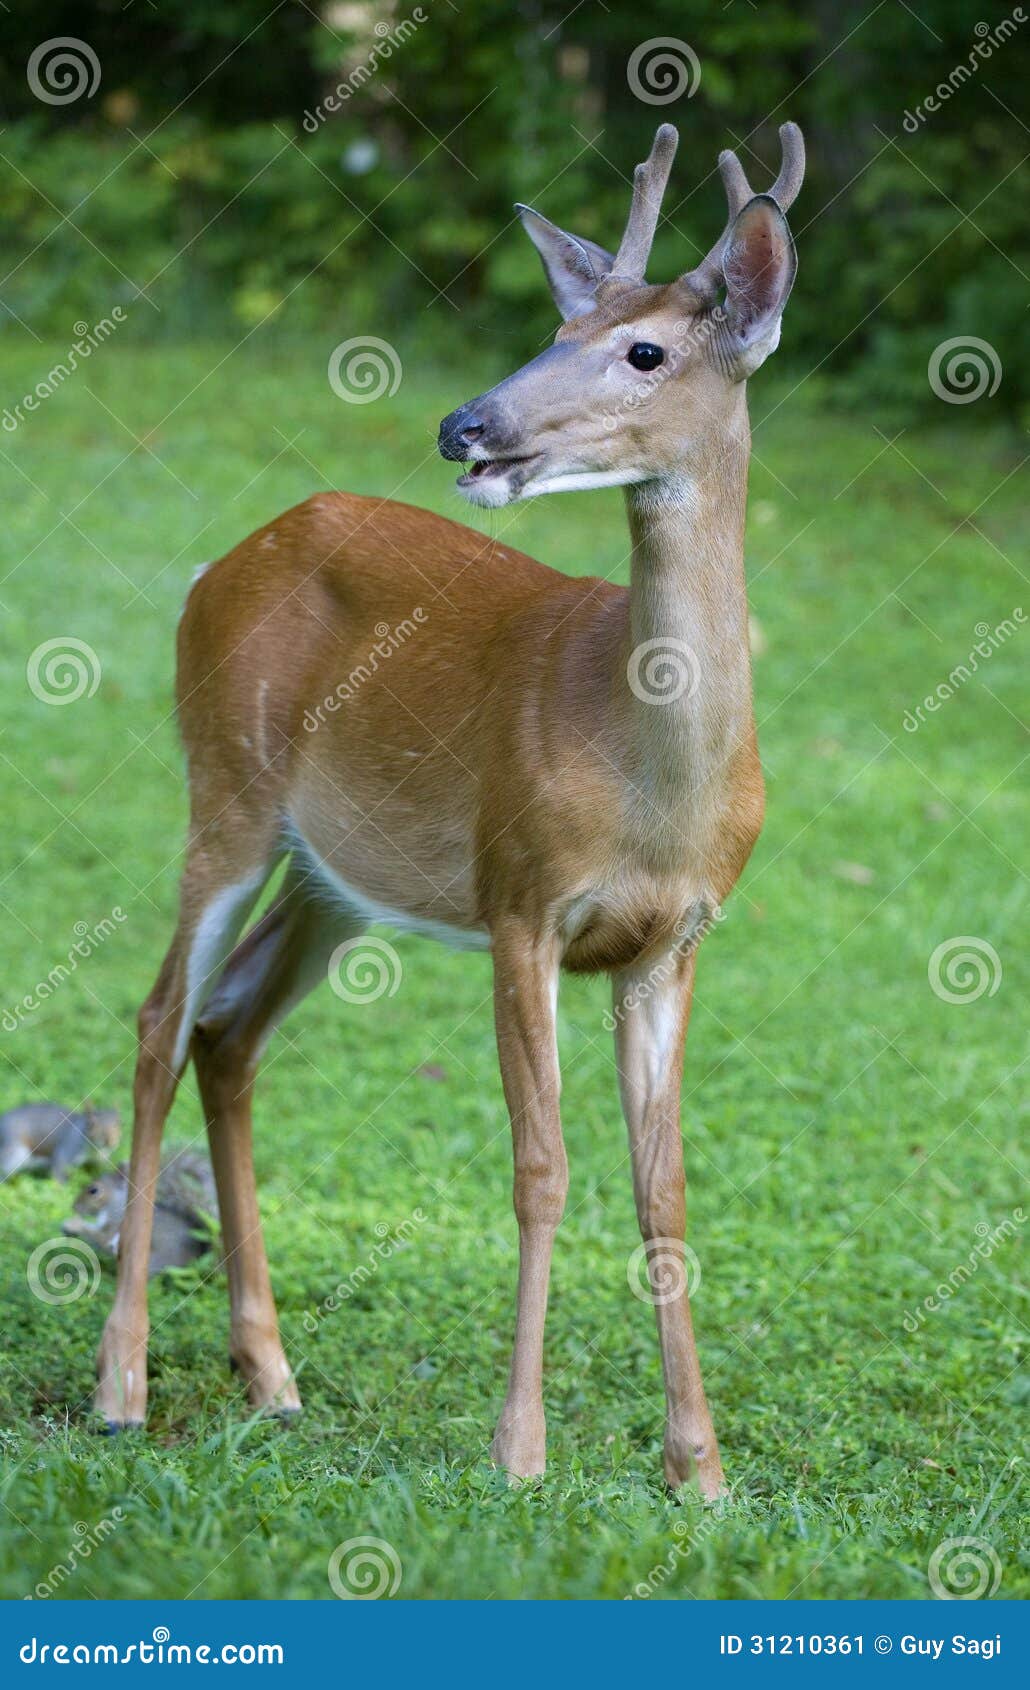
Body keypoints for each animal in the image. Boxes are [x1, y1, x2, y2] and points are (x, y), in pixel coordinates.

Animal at [95, 120, 804, 1498]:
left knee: (226, 1025)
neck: (655, 783)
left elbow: (665, 1189)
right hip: (226, 792)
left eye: (642, 349)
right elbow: (543, 1167)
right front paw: (518, 1452)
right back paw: (122, 1387)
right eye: (556, 322)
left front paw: (699, 1467)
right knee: (157, 1019)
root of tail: (221, 561)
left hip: (335, 876)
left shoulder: (674, 940)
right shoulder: (521, 893)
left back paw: (271, 1376)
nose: (463, 424)